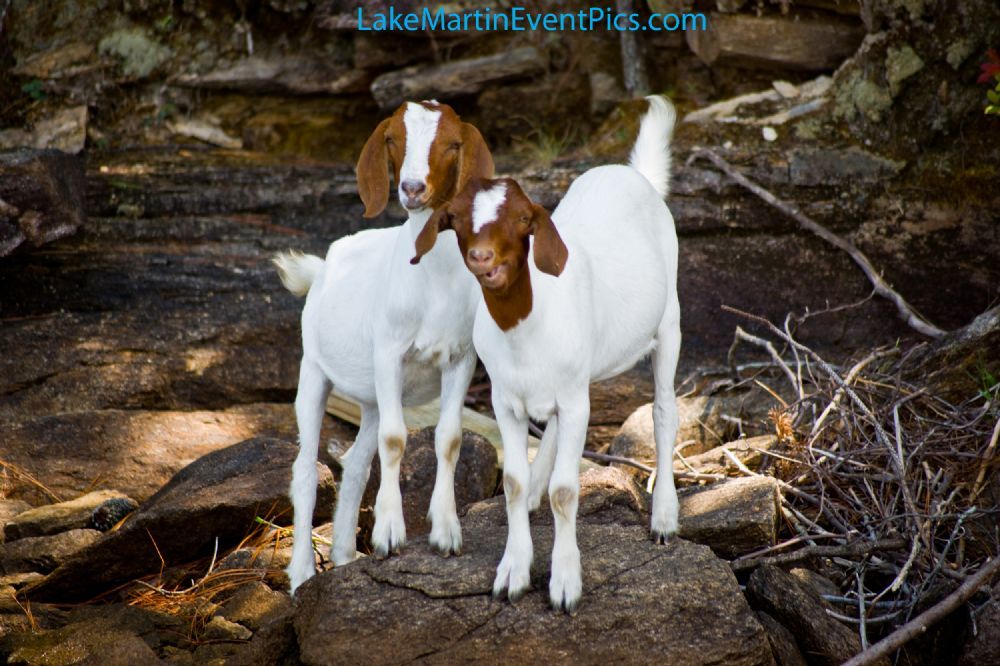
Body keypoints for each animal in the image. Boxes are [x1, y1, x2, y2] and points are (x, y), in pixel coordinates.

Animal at [274, 100, 494, 594]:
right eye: (393, 138)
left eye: (453, 143)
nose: (412, 188)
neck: (433, 280)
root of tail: (322, 267)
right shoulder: (390, 353)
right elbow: (396, 440)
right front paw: (390, 534)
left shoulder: (461, 360)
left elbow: (449, 438)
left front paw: (446, 532)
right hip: (313, 370)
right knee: (304, 468)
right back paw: (301, 573)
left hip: (372, 396)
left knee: (356, 462)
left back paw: (342, 555)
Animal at [410, 96, 679, 612]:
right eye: (458, 220)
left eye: (522, 220)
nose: (483, 258)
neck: (527, 329)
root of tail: (633, 173)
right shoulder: (506, 399)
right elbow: (513, 482)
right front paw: (513, 570)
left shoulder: (573, 398)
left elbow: (567, 490)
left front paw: (565, 582)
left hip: (670, 320)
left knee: (663, 410)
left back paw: (665, 516)